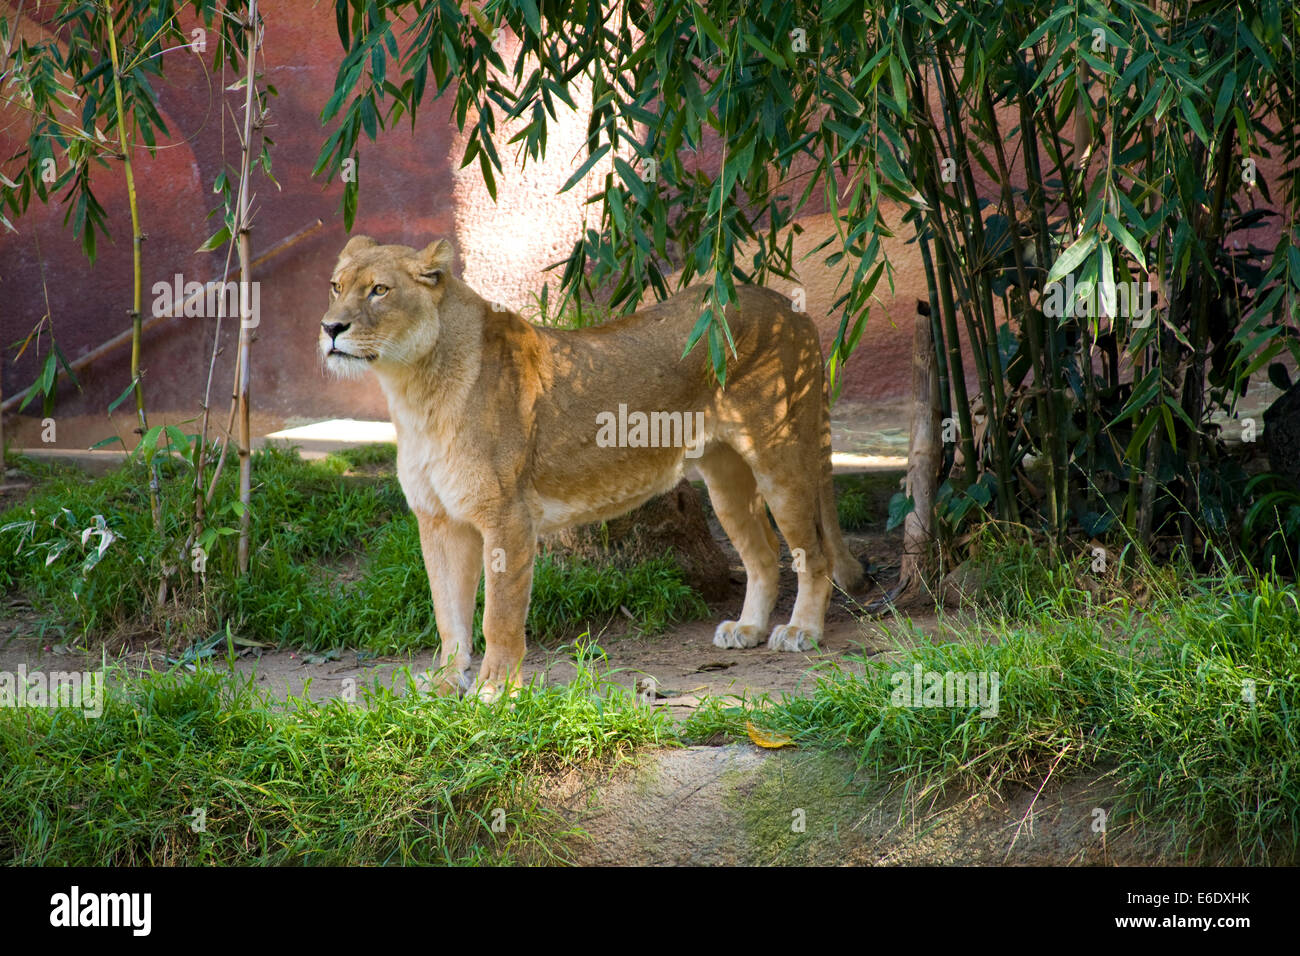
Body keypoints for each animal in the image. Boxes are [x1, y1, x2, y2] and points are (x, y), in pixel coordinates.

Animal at [320, 236, 864, 700]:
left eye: (379, 290)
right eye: (336, 287)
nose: (330, 329)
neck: (415, 390)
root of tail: (790, 309)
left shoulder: (507, 517)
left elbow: (499, 614)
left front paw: (495, 692)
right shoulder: (438, 519)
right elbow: (447, 612)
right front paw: (444, 682)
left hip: (780, 455)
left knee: (812, 552)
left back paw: (800, 630)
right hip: (726, 476)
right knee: (763, 551)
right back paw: (748, 628)